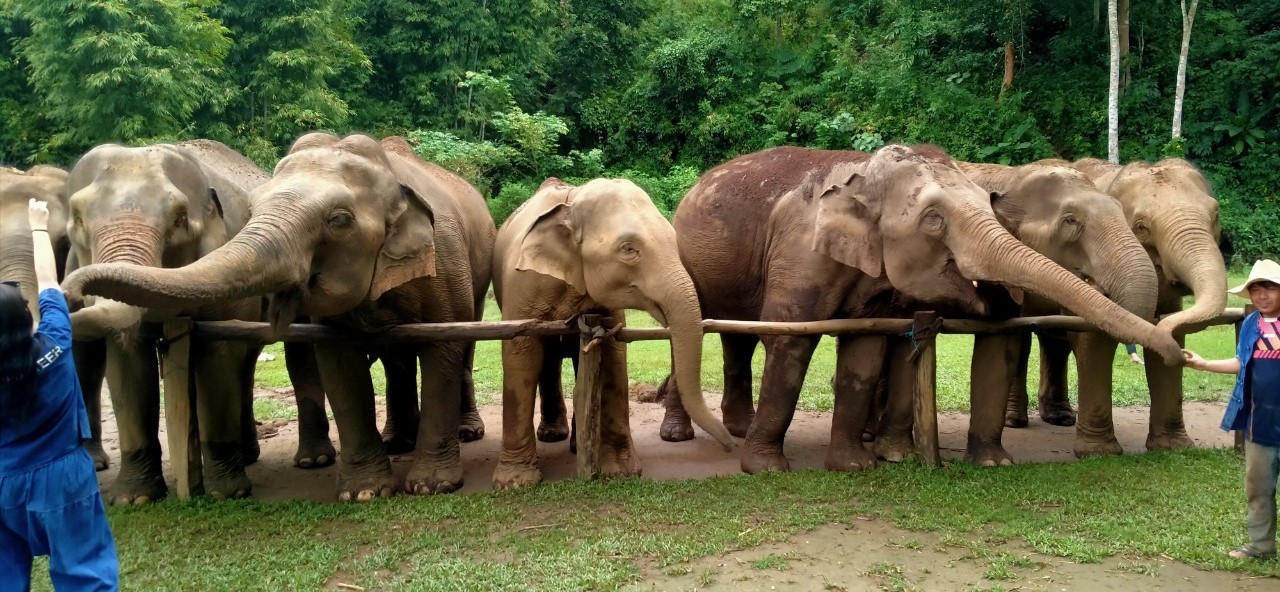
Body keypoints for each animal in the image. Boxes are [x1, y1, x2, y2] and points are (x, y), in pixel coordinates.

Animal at [64, 133, 497, 502]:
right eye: (77, 221)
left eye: (339, 220)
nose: (69, 291)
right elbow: (338, 362)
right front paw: (364, 493)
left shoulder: (445, 260)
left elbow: (443, 346)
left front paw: (432, 486)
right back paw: (386, 444)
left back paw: (462, 433)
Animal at [491, 177, 734, 490]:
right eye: (628, 249)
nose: (730, 447)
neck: (573, 200)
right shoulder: (523, 285)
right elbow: (521, 357)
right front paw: (515, 484)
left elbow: (615, 357)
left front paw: (622, 472)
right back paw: (553, 437)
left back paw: (574, 445)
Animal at [658, 145, 1183, 473]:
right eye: (933, 220)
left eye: (991, 208)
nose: (1184, 352)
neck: (863, 173)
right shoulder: (800, 252)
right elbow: (790, 339)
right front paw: (767, 470)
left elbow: (865, 348)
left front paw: (854, 466)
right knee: (697, 329)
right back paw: (680, 435)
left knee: (736, 337)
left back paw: (737, 428)